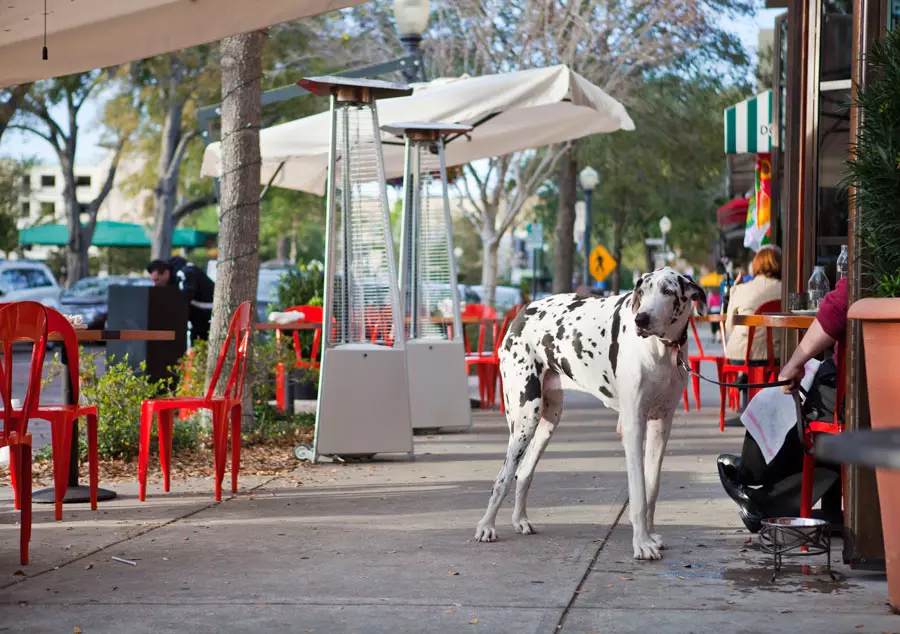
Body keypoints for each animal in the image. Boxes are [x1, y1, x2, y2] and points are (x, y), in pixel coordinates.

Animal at [474, 266, 708, 556]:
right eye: (642, 291)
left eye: (668, 291)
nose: (641, 319)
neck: (661, 350)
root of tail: (524, 308)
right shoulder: (633, 426)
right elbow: (639, 493)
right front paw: (641, 544)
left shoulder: (661, 425)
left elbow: (652, 487)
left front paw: (651, 536)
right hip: (525, 417)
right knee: (502, 477)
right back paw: (486, 526)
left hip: (548, 420)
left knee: (524, 471)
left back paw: (520, 520)